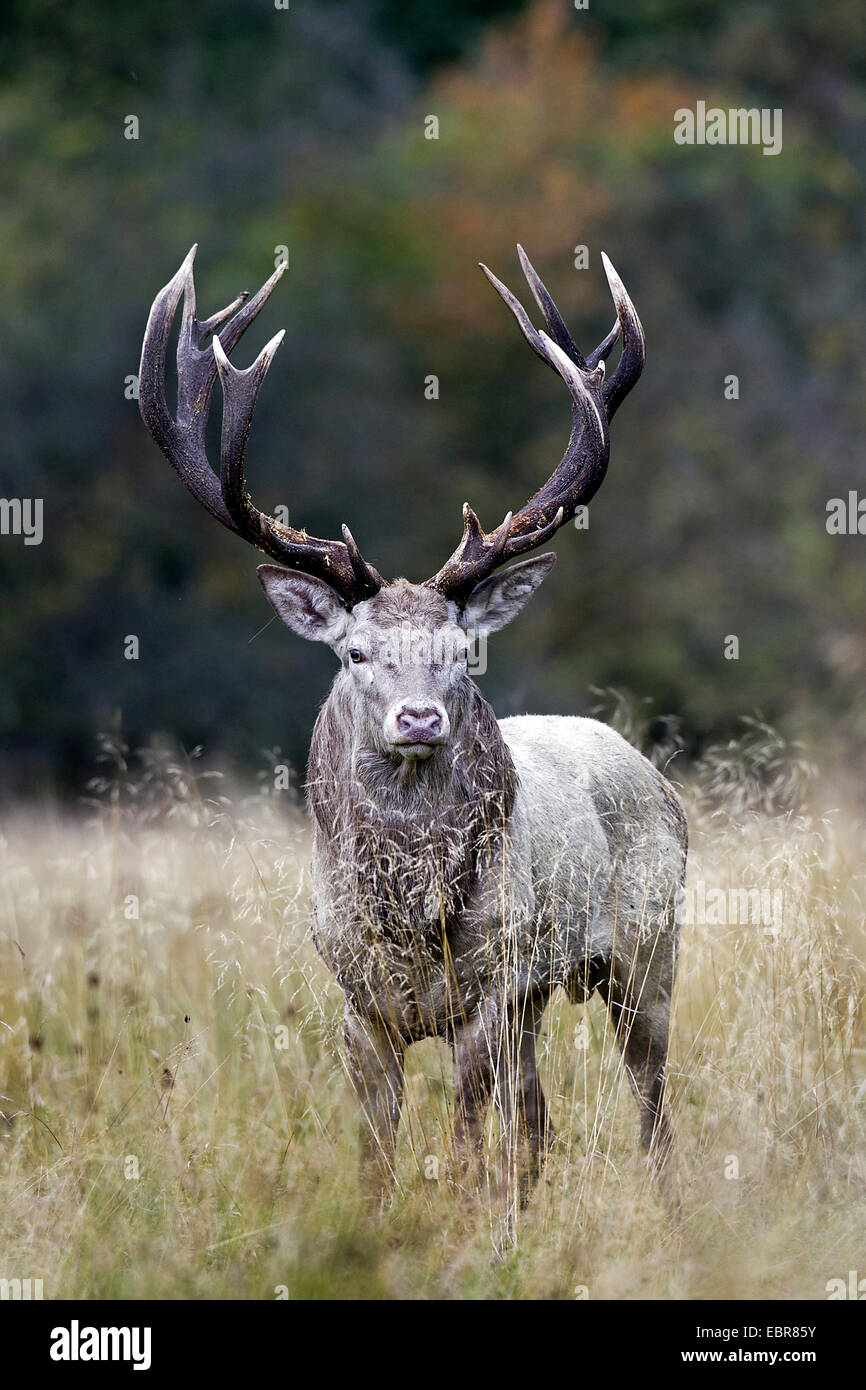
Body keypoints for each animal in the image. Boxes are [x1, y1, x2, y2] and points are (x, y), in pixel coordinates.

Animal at [139, 244, 687, 1206]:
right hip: (541, 993)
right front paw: (380, 1220)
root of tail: (657, 779)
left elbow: (466, 1143)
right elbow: (377, 1153)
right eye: (355, 652)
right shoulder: (357, 1003)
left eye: (463, 650)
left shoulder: (486, 990)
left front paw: (462, 1219)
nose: (420, 717)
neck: (406, 919)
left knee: (652, 1110)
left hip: (648, 954)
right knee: (538, 1118)